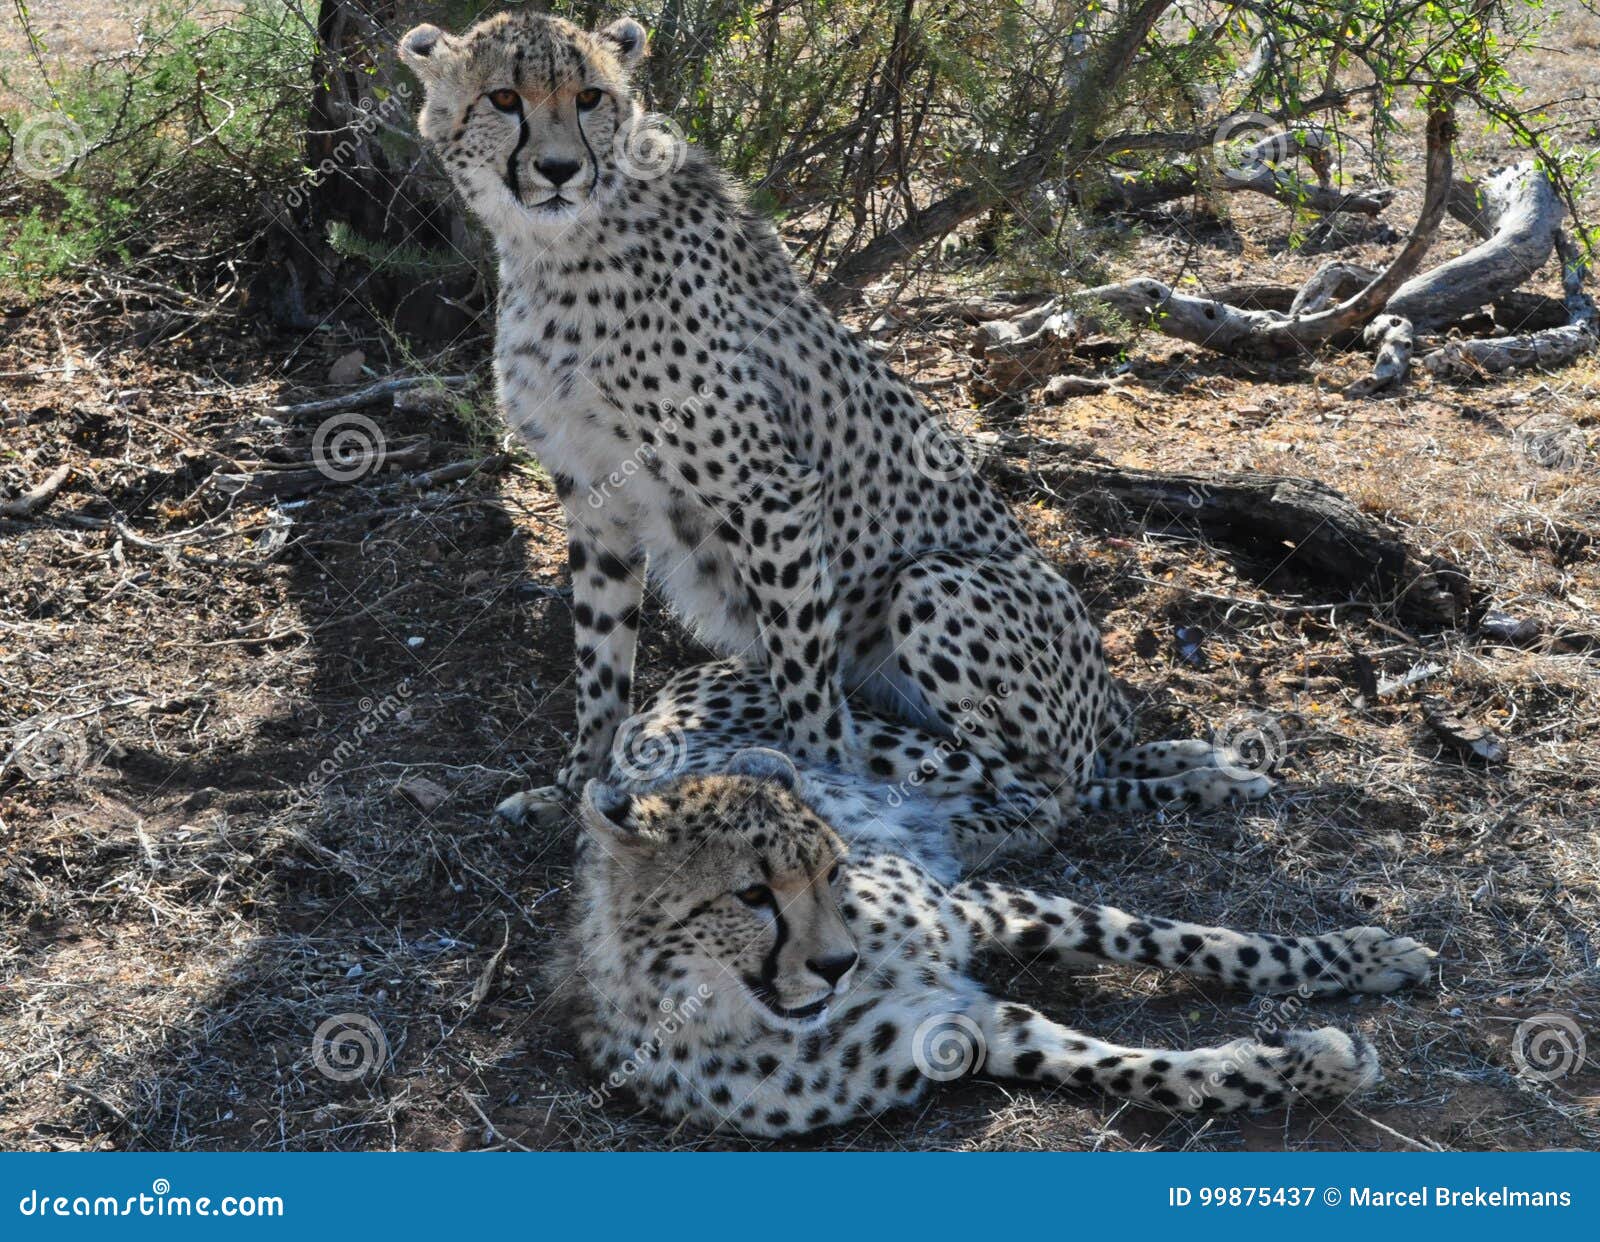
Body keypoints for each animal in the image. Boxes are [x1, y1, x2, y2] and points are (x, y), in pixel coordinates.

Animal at [400, 9, 1273, 848]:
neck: (554, 248)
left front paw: (814, 780)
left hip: (940, 581)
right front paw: (572, 787)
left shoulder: (770, 490)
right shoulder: (594, 497)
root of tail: (1106, 702)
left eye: (589, 98)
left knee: (1052, 783)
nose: (557, 170)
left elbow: (804, 678)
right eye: (503, 99)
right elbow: (600, 663)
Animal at [551, 664, 1435, 1138]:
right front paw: (1303, 1063)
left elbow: (1170, 936)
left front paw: (1353, 956)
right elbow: (1138, 1071)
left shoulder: (973, 904)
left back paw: (1210, 769)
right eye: (751, 895)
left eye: (833, 872)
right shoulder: (968, 1029)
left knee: (1059, 783)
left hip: (913, 751)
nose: (838, 964)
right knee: (1060, 793)